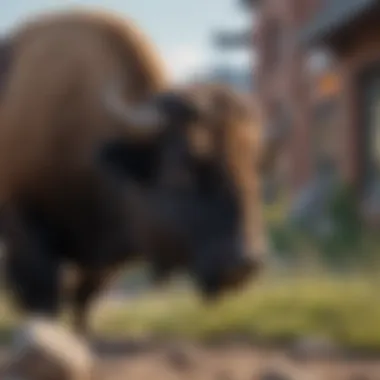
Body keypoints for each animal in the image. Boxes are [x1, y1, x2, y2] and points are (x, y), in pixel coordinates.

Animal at [0, 8, 284, 336]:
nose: (244, 263)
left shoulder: (104, 257)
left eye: (254, 167)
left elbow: (85, 296)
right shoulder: (22, 220)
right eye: (180, 169)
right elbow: (44, 292)